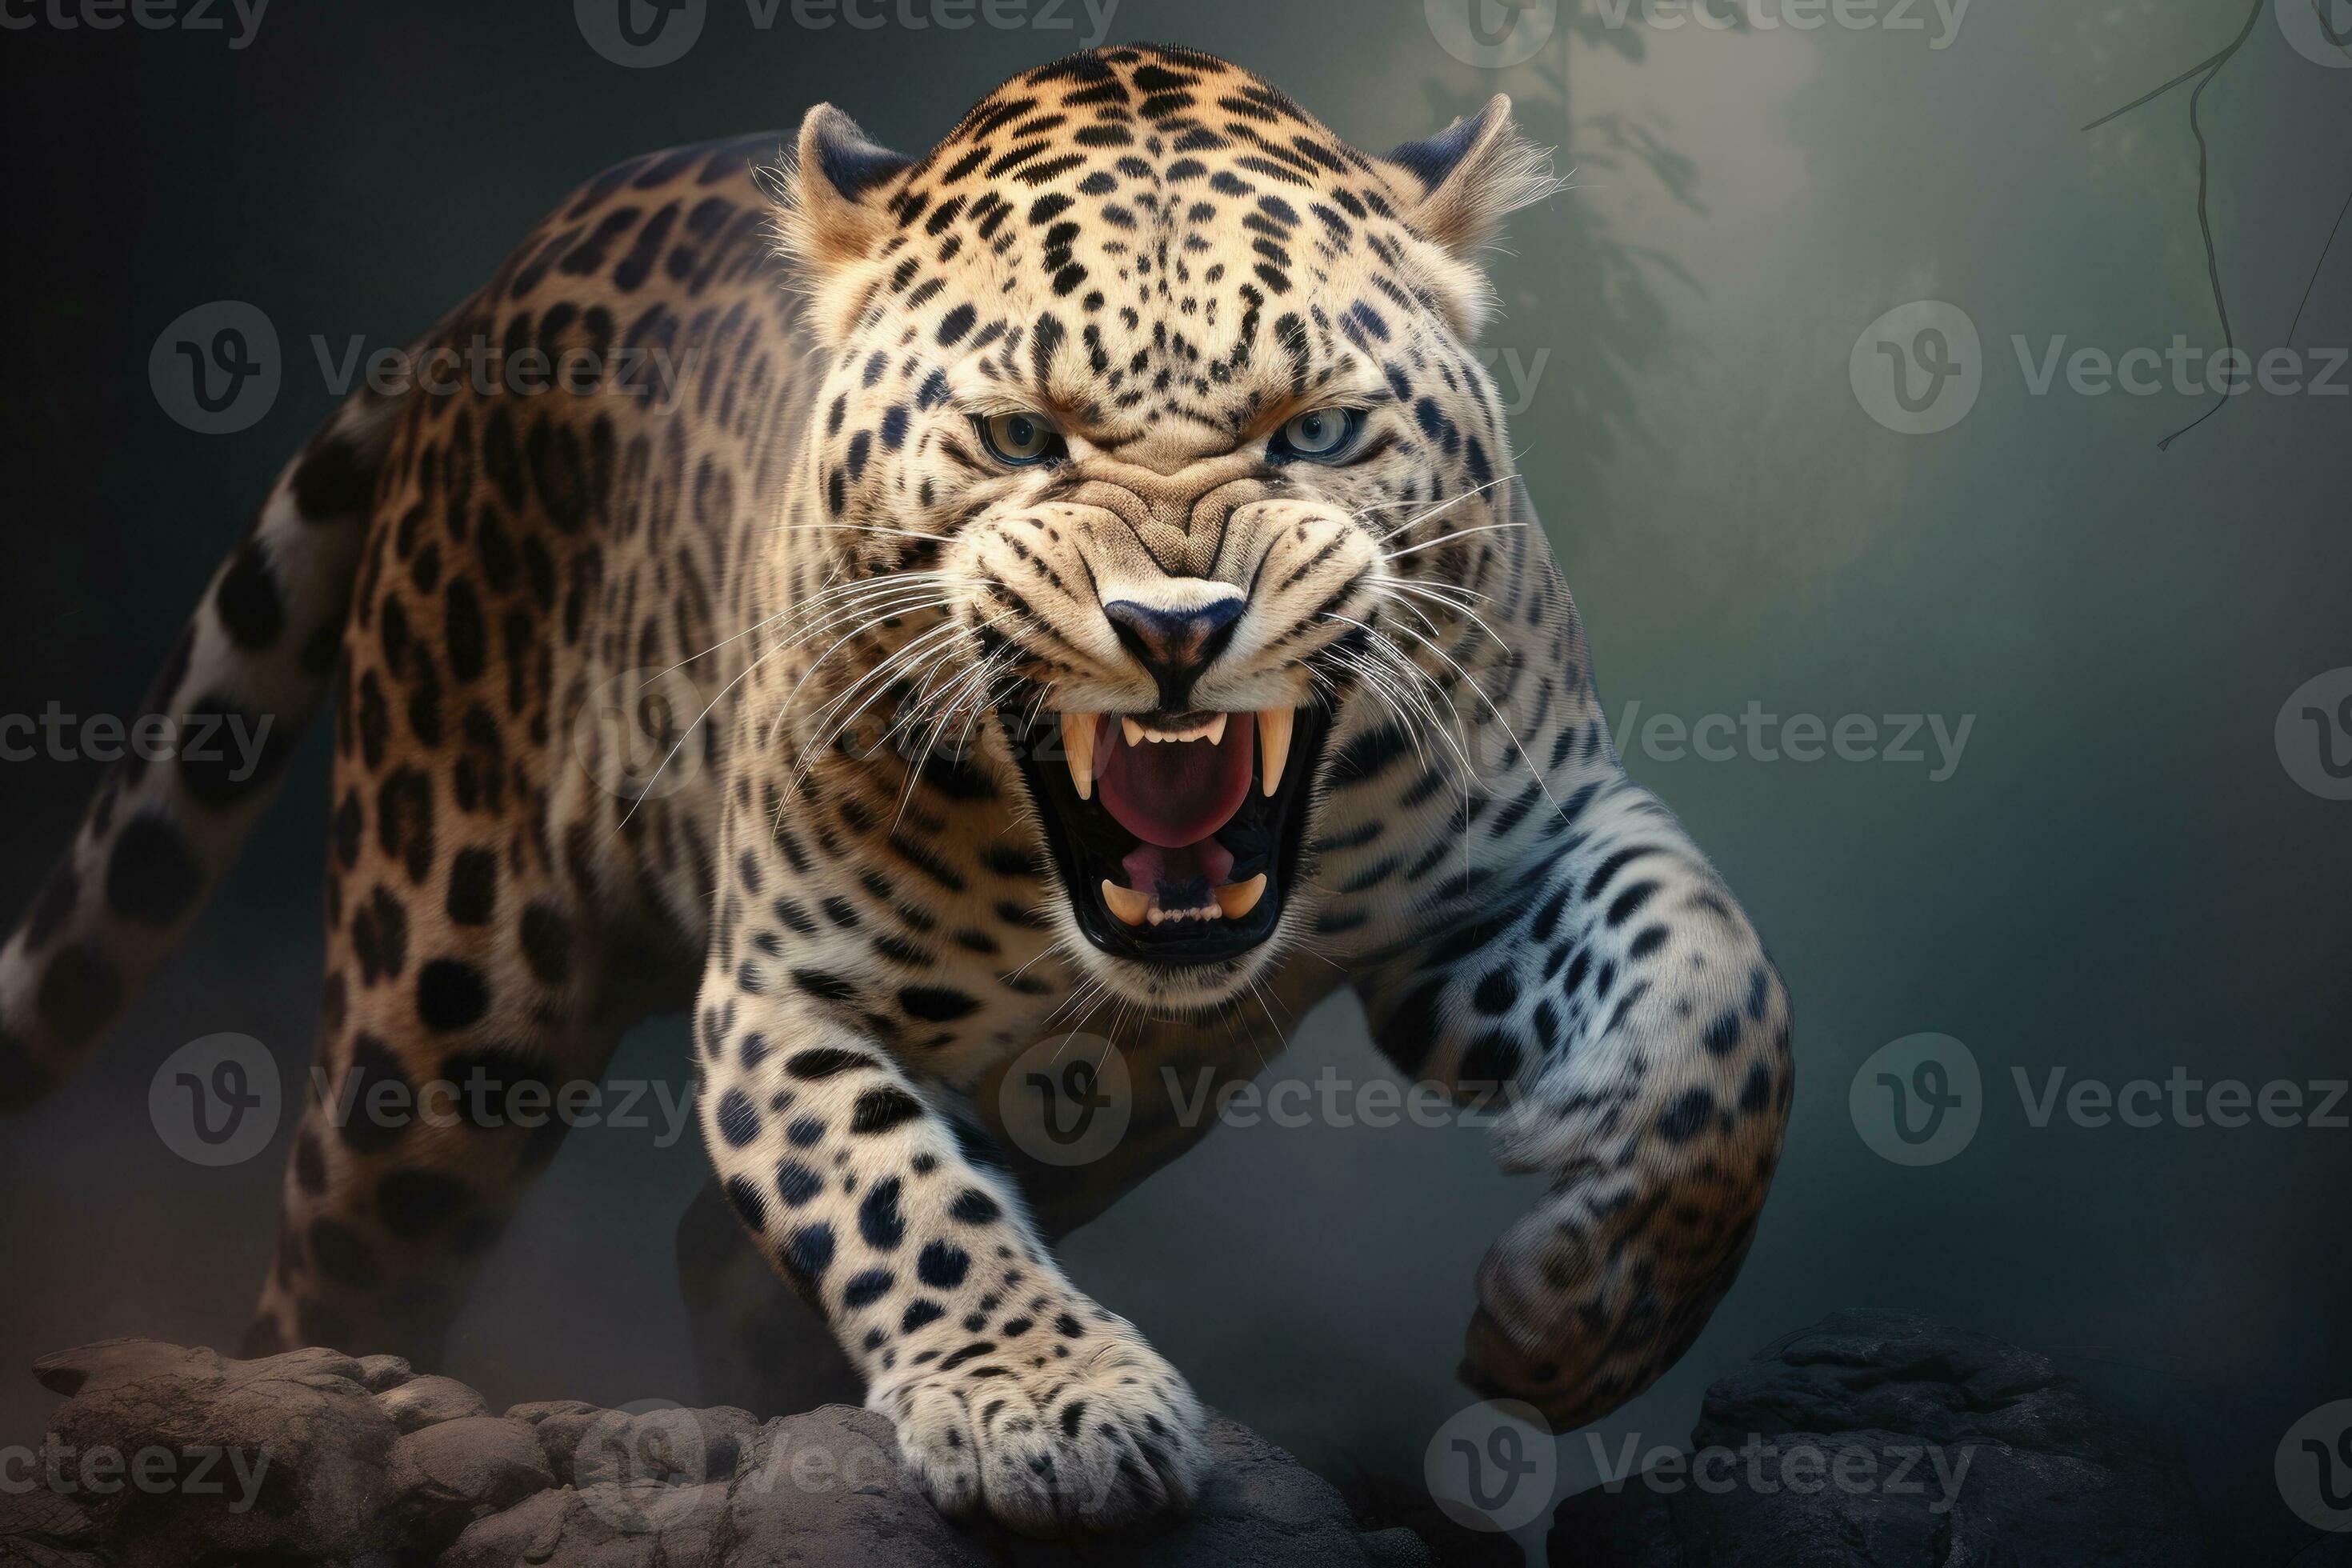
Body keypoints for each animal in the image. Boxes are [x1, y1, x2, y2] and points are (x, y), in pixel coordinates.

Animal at [0, 44, 1793, 1535]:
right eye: (1017, 437)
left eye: (1318, 431)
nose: (1178, 629)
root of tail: (481, 296)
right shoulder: (786, 990)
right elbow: (891, 1189)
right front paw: (1051, 1400)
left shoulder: (1518, 857)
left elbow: (1722, 1002)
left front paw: (1586, 1310)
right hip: (435, 1016)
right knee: (338, 1270)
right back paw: (318, 1408)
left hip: (1103, 1107)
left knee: (714, 1245)